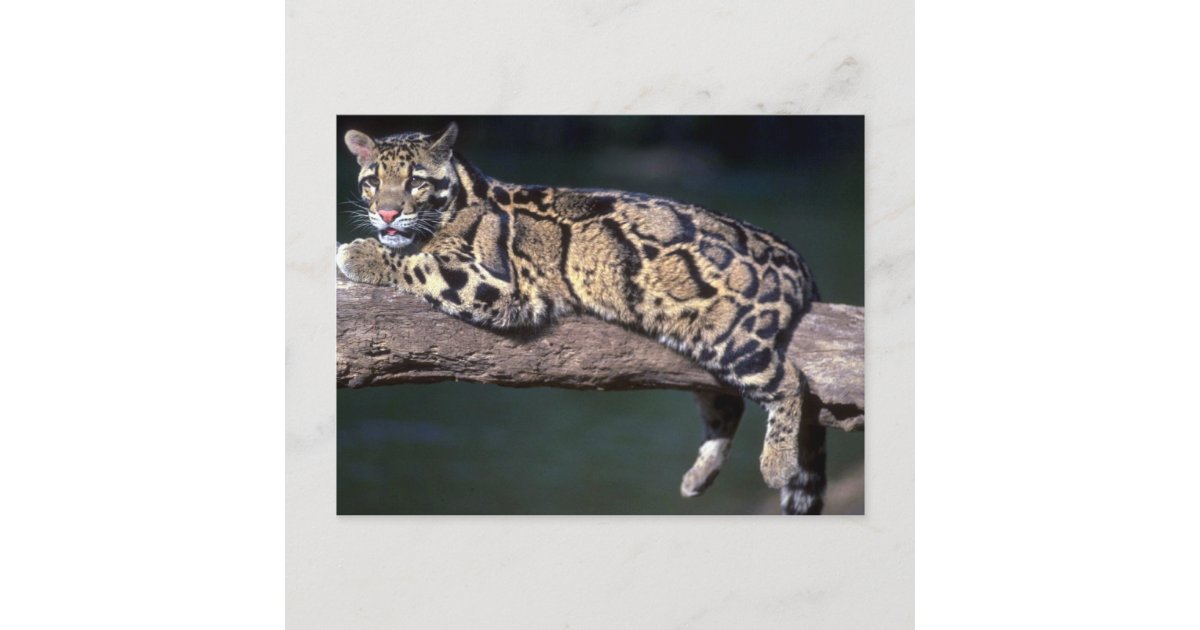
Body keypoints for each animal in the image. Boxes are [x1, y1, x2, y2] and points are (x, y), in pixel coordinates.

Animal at [336, 123, 827, 515]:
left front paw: (360, 254)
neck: (464, 194)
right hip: (698, 339)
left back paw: (777, 464)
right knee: (727, 402)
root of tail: (798, 259)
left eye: (416, 181)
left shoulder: (502, 286)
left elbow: (420, 264)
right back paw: (699, 475)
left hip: (733, 338)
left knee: (790, 382)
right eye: (372, 181)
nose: (387, 212)